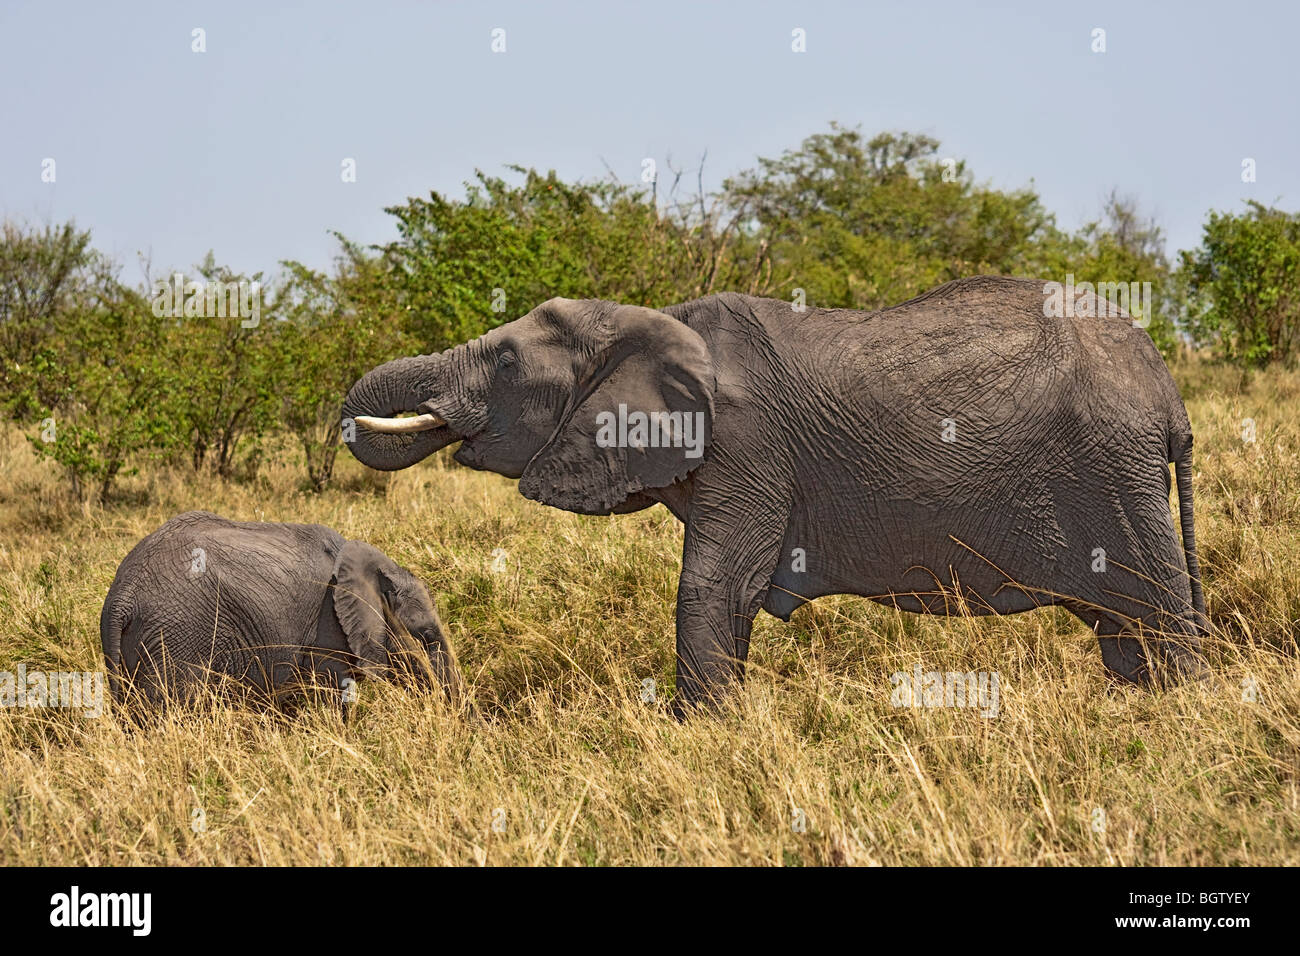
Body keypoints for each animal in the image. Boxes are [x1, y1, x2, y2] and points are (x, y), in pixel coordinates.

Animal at [341, 275, 1207, 712]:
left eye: (508, 364)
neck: (651, 319)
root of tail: (1167, 391)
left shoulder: (748, 446)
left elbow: (713, 586)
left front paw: (699, 733)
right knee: (1126, 628)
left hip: (1115, 472)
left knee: (1159, 608)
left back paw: (1182, 714)